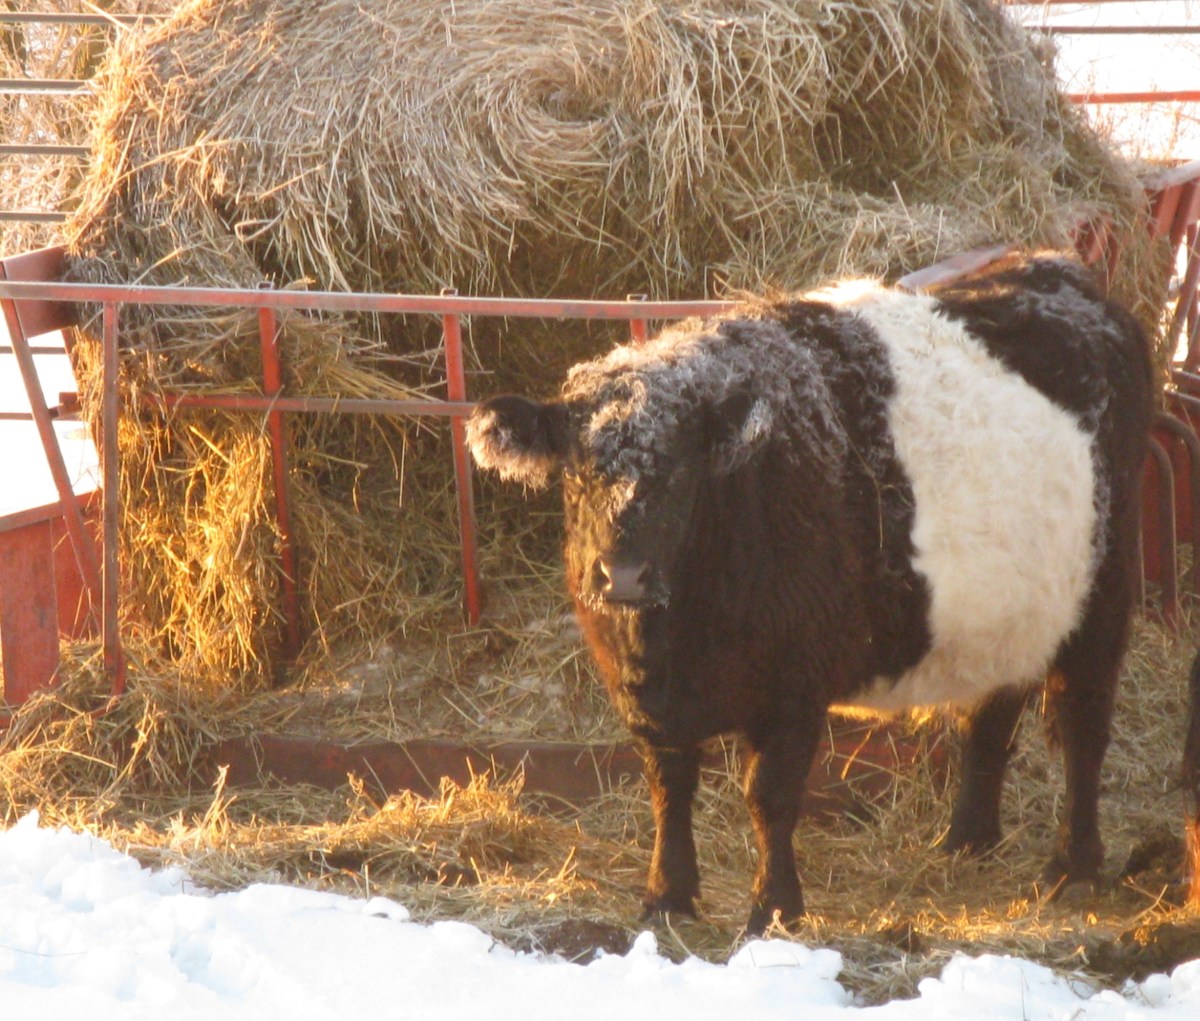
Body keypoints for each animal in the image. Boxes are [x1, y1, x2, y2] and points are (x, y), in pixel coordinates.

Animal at [465, 252, 1154, 935]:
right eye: (577, 473)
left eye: (680, 472)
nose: (623, 575)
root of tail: (1057, 271)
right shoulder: (648, 696)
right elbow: (670, 786)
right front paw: (667, 897)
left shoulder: (793, 688)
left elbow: (769, 796)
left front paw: (774, 908)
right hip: (1010, 611)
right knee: (991, 718)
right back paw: (967, 841)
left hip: (1102, 599)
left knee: (1083, 727)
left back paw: (1074, 867)